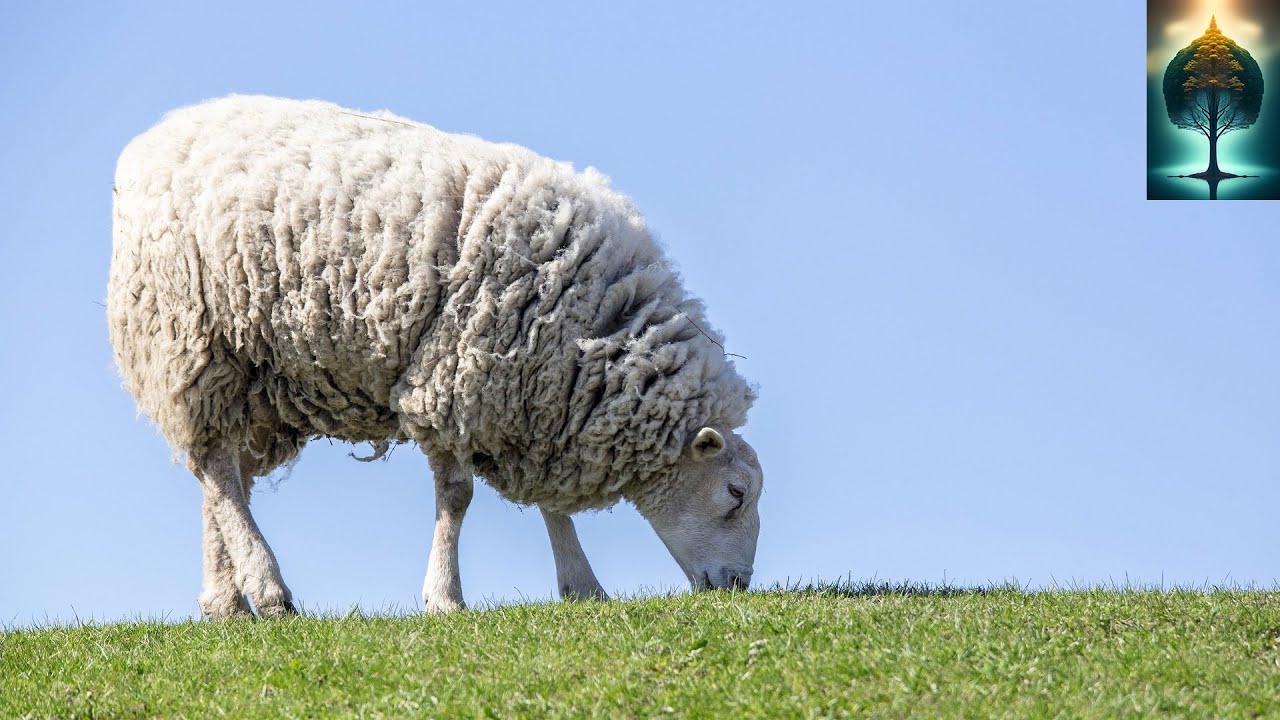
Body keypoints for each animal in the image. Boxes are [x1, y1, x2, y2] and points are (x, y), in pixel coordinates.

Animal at [107, 95, 764, 617]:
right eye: (736, 493)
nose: (738, 586)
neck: (593, 331)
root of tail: (154, 138)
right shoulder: (455, 380)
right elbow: (457, 497)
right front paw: (445, 596)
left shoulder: (537, 403)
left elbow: (551, 506)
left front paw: (582, 586)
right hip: (193, 338)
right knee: (216, 468)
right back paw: (268, 590)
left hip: (256, 376)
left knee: (223, 476)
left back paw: (226, 600)